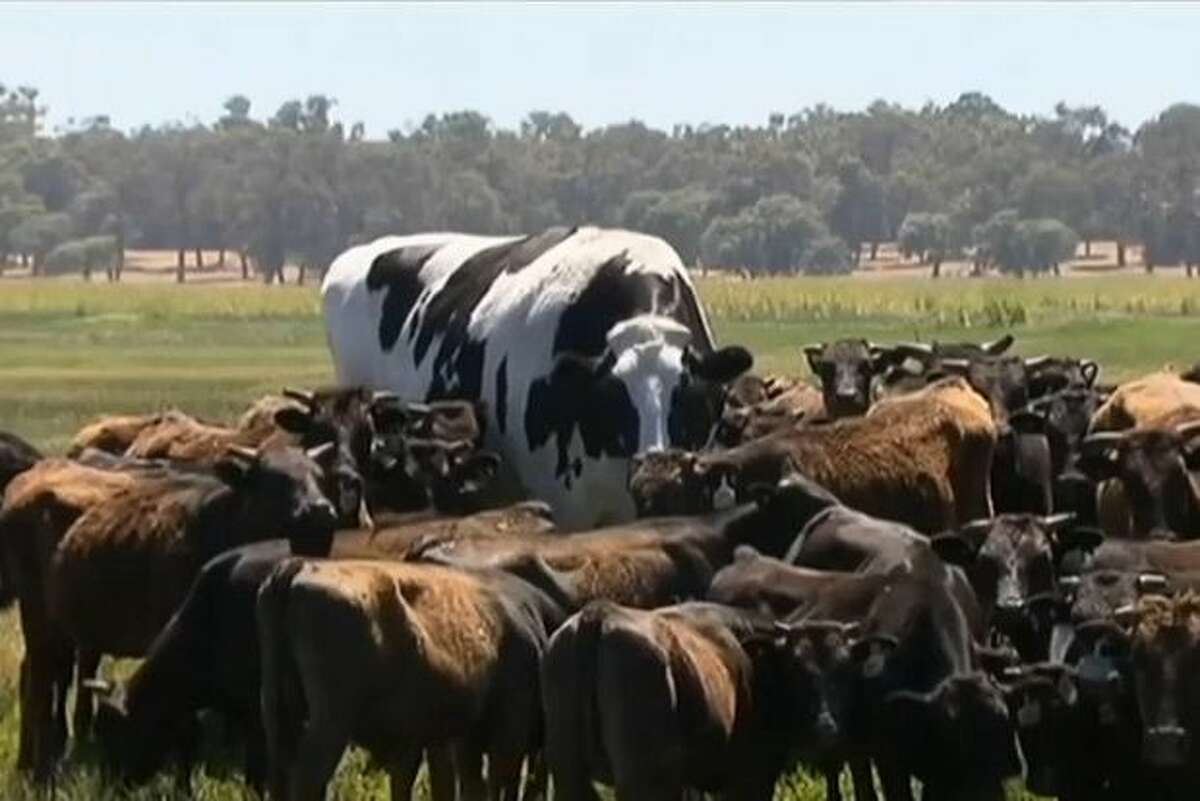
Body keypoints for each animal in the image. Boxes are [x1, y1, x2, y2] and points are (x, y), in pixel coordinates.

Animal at [256, 557, 566, 801]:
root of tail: (301, 567)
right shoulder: (505, 734)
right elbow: (500, 785)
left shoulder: (435, 742)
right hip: (330, 723)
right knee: (309, 777)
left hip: (278, 714)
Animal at [541, 600, 853, 801]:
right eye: (796, 668)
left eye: (843, 669)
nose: (827, 726)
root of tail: (600, 613)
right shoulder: (751, 775)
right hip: (644, 780)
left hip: (569, 773)